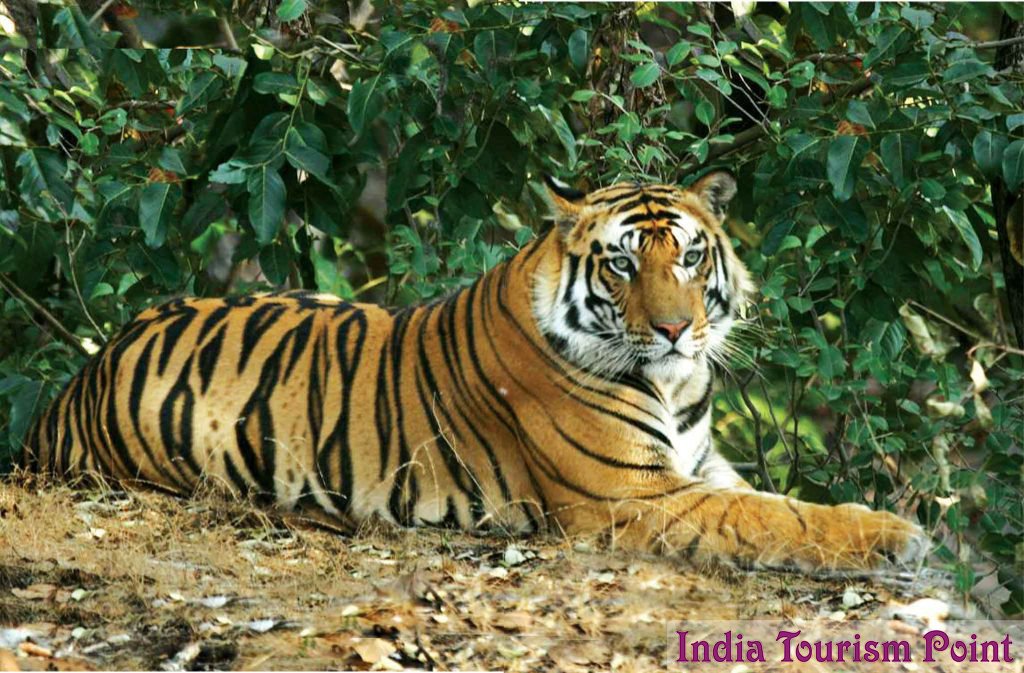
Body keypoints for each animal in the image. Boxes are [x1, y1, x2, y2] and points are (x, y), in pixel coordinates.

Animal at [21, 171, 926, 571]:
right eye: (624, 264)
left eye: (692, 256)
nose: (676, 329)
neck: (675, 384)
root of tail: (67, 394)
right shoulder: (634, 495)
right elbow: (782, 517)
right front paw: (897, 536)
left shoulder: (700, 466)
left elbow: (773, 502)